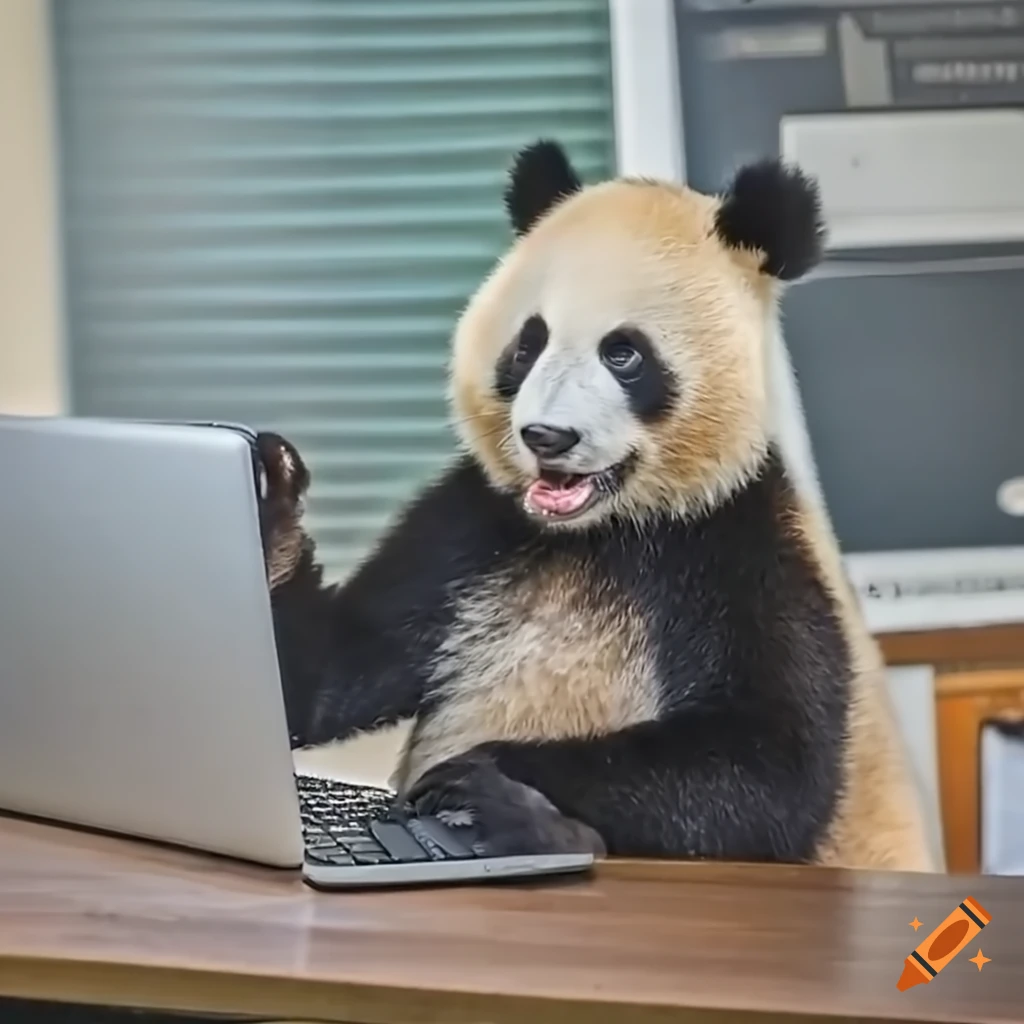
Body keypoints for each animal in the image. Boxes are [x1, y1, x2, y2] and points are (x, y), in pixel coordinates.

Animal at [257, 139, 935, 871]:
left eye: (624, 354)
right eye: (528, 345)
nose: (546, 437)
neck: (602, 532)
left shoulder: (745, 545)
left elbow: (769, 770)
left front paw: (482, 784)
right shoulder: (474, 529)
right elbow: (326, 674)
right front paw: (263, 490)